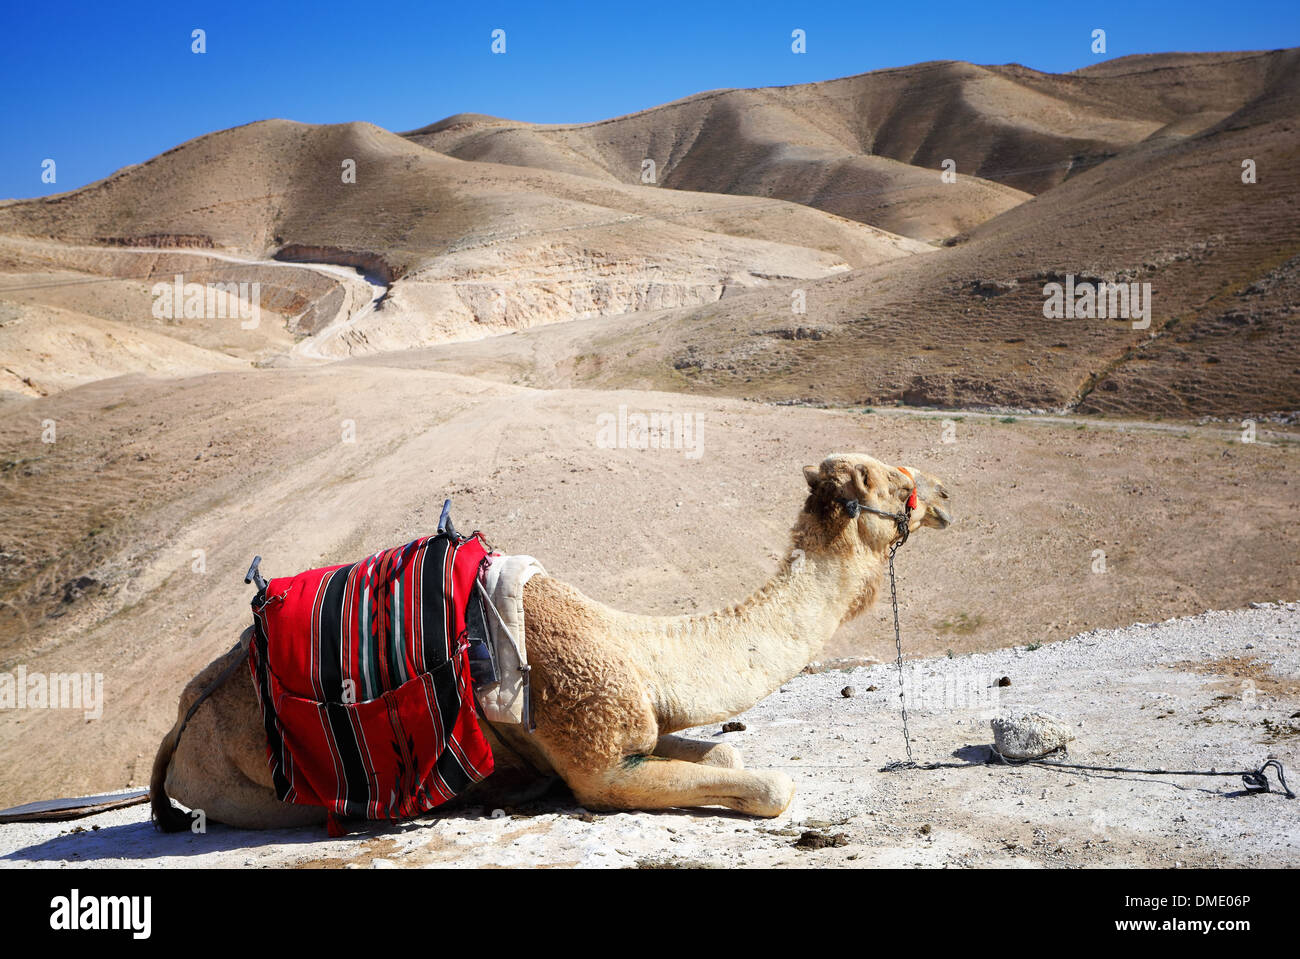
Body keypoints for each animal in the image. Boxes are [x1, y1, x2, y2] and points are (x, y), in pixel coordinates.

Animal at [151, 452, 951, 829]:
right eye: (882, 475)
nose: (943, 494)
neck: (636, 647)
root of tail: (181, 722)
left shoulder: (630, 728)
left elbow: (724, 750)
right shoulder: (599, 762)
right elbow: (771, 785)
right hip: (246, 790)